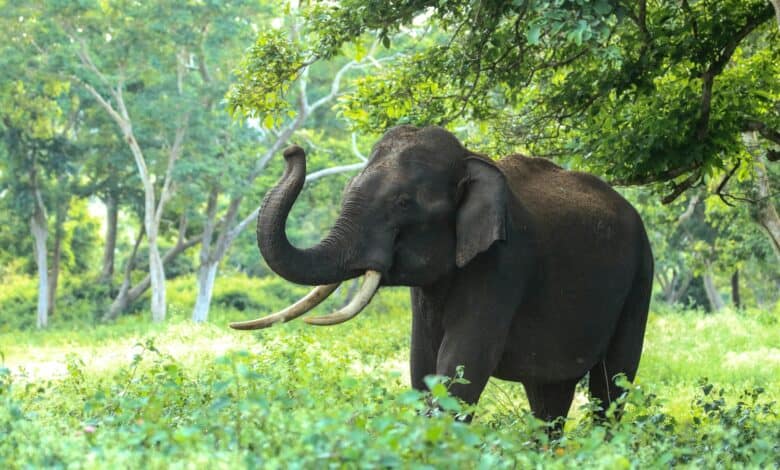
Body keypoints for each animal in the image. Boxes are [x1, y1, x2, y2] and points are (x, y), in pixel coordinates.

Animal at [231, 125, 653, 430]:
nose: (292, 151)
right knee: (548, 396)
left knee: (612, 383)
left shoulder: (504, 264)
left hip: (641, 277)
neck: (470, 158)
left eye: (403, 203)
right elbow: (423, 364)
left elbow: (462, 365)